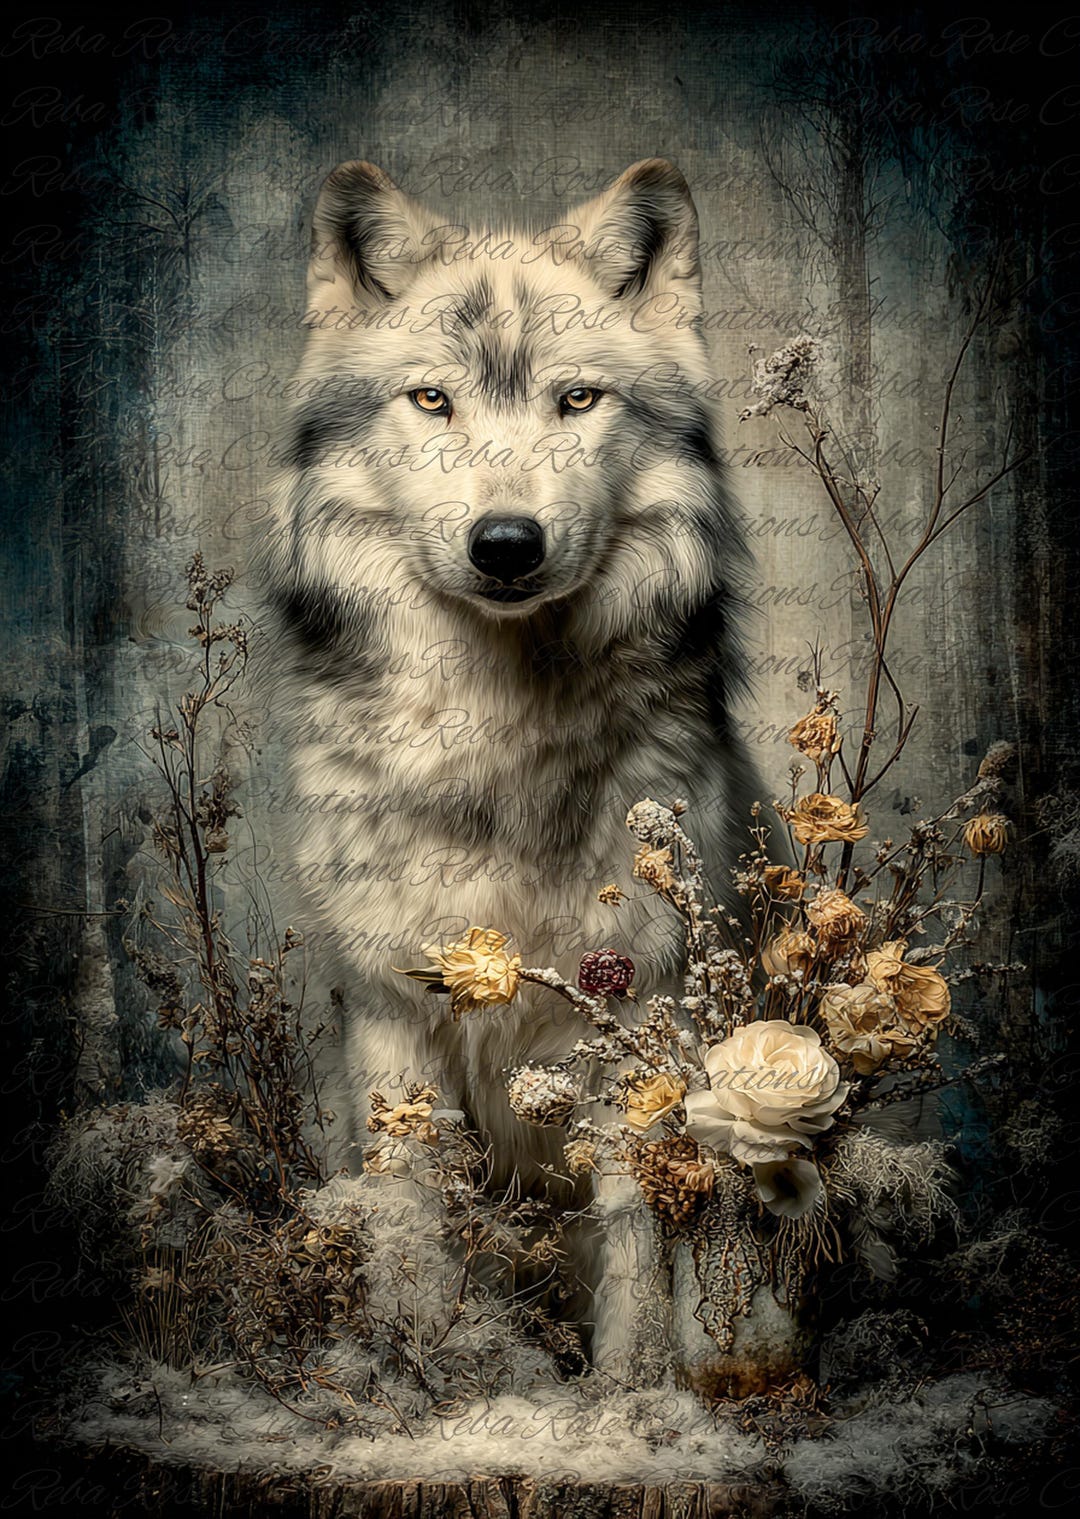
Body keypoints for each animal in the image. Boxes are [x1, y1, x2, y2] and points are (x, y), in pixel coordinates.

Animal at [258, 157, 763, 1376]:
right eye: (433, 401)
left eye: (576, 401)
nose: (505, 544)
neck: (498, 734)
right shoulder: (393, 1011)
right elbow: (413, 1218)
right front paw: (428, 1376)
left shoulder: (638, 1014)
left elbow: (634, 1238)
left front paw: (630, 1394)